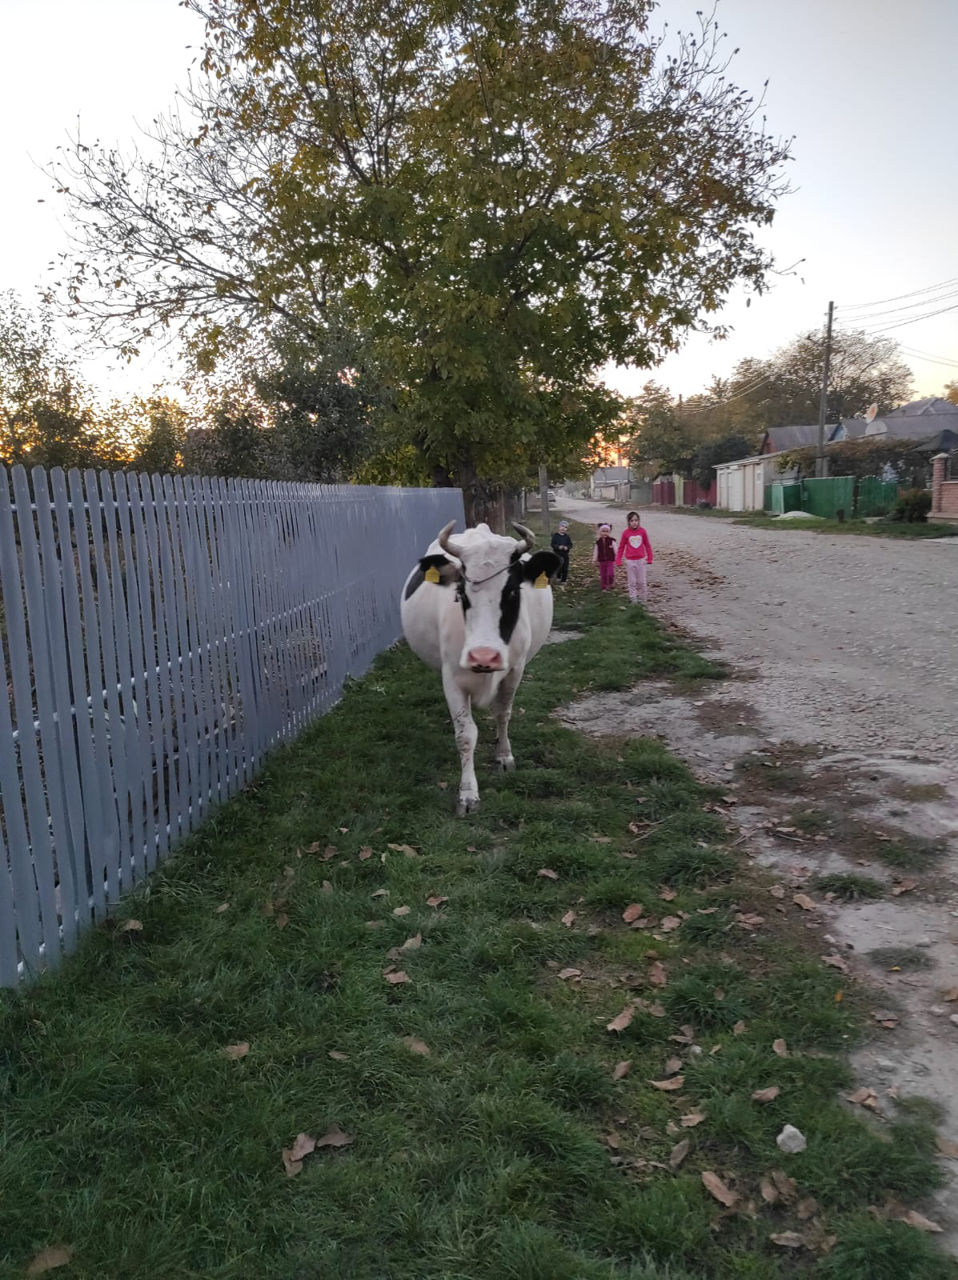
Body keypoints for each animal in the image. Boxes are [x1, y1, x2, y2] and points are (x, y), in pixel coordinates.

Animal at [400, 520, 560, 815]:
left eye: (512, 591)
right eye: (461, 593)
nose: (483, 656)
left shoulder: (515, 670)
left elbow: (503, 713)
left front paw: (504, 756)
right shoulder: (451, 678)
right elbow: (465, 734)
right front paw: (467, 793)